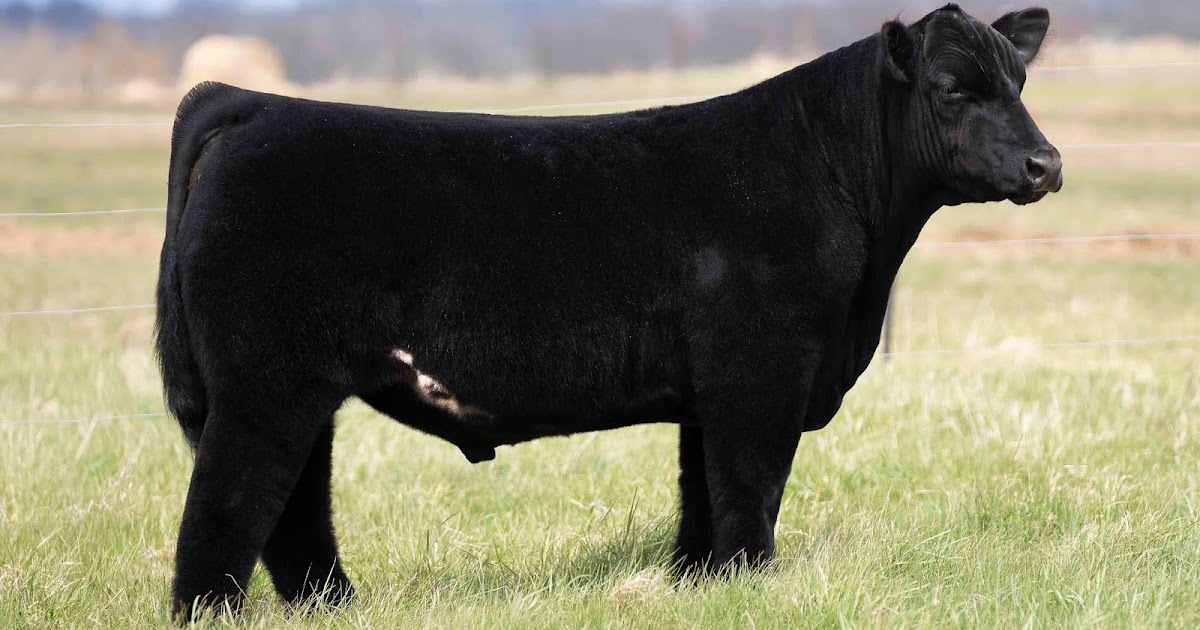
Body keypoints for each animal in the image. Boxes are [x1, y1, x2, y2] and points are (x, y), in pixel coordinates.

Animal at [157, 4, 1062, 621]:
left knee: (296, 510)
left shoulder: (710, 391)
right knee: (226, 511)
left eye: (1020, 82)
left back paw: (336, 606)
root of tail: (257, 104)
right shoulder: (760, 376)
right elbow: (749, 491)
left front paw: (699, 584)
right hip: (264, 389)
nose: (1045, 163)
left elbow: (702, 499)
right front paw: (753, 582)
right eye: (951, 89)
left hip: (295, 392)